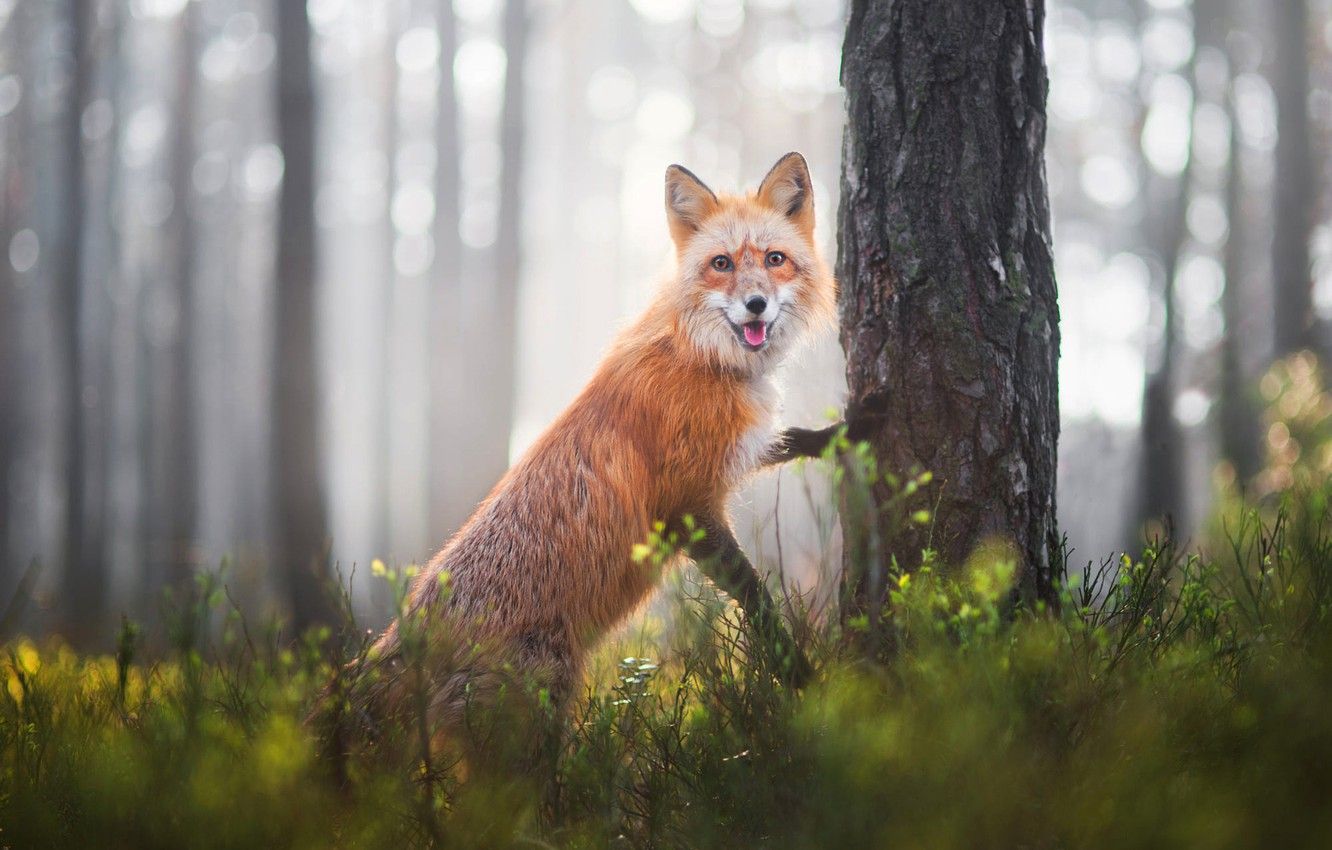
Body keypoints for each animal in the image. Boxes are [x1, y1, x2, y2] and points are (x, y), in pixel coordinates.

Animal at [325, 152, 876, 773]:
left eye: (775, 259)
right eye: (722, 263)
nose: (754, 304)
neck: (700, 356)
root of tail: (410, 628)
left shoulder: (726, 457)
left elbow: (791, 438)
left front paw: (856, 425)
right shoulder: (689, 508)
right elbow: (757, 603)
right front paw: (804, 680)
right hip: (535, 727)